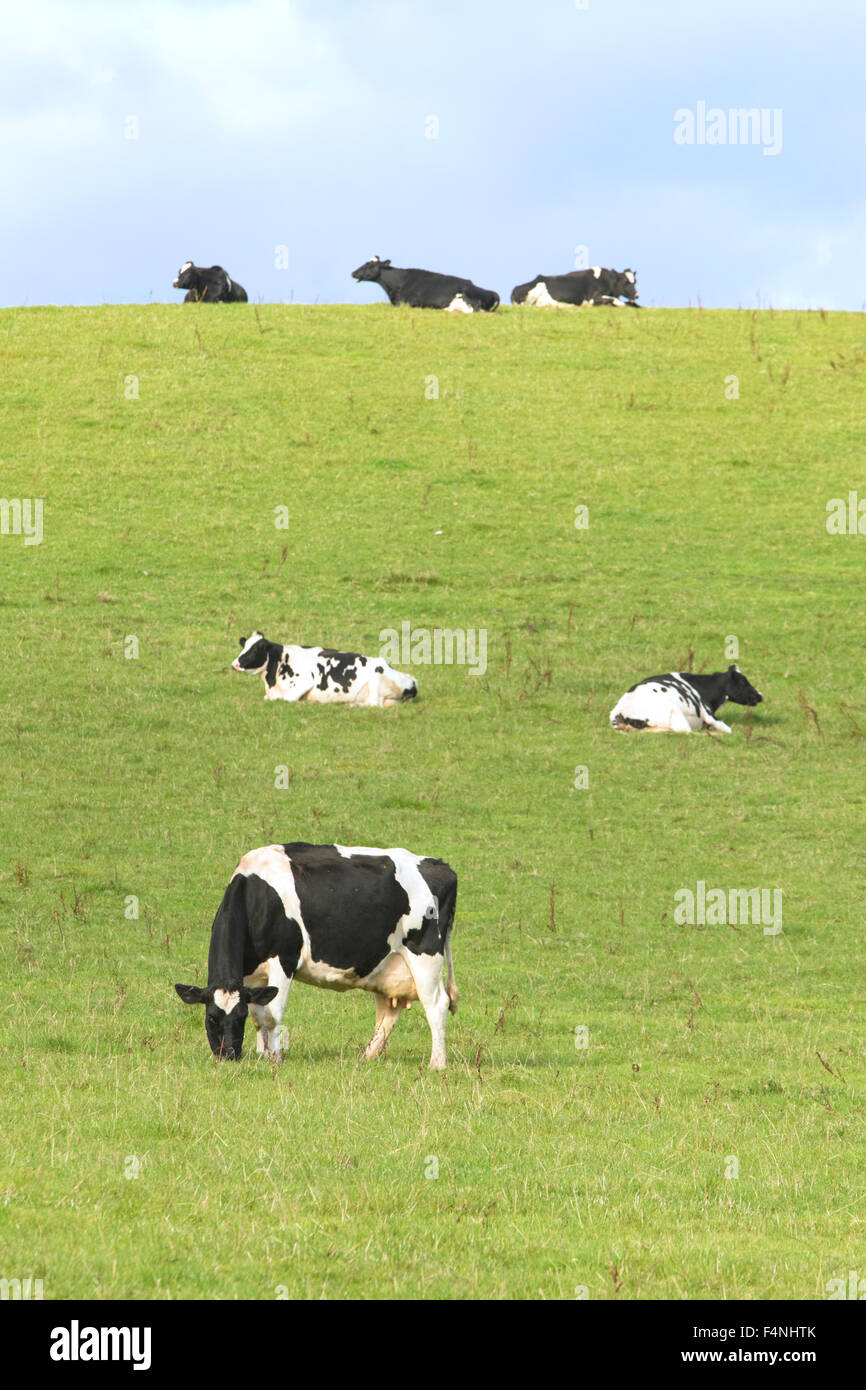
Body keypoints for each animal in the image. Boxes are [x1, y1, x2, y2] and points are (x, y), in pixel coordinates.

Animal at [175, 843, 458, 1069]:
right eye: (211, 1018)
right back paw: (366, 1058)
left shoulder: (284, 959)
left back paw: (437, 1064)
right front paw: (262, 1054)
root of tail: (440, 865)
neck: (257, 894)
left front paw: (274, 1058)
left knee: (436, 1005)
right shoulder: (251, 974)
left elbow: (272, 1014)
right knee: (388, 1013)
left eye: (238, 1017)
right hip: (388, 965)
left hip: (425, 955)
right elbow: (259, 1015)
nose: (229, 1055)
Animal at [232, 631, 418, 706]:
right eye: (244, 646)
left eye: (255, 649)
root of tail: (412, 681)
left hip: (375, 680)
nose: (235, 664)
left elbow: (286, 699)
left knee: (374, 704)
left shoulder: (305, 682)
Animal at [610, 665, 763, 733]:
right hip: (676, 714)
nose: (760, 696)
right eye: (743, 682)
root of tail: (620, 711)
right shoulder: (709, 714)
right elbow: (728, 729)